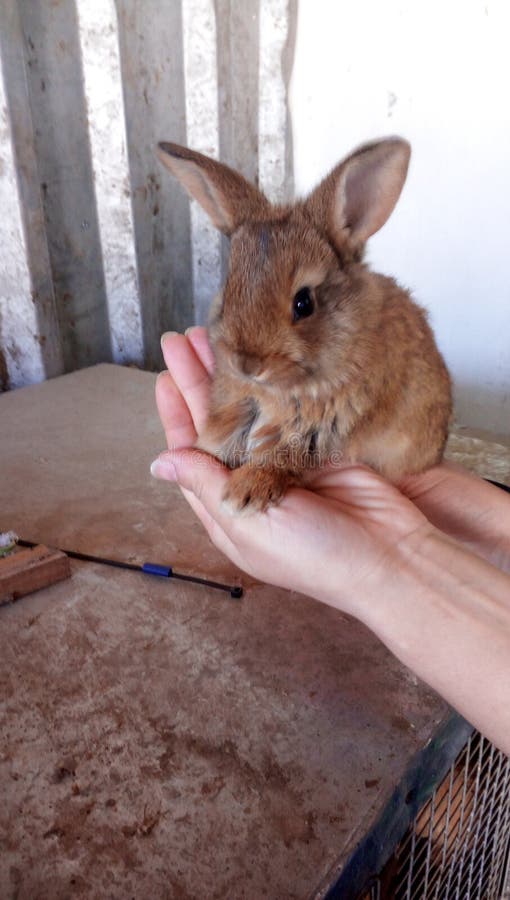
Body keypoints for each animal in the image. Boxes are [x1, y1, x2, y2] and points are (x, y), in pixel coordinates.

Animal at [157, 137, 452, 513]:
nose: (247, 364)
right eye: (228, 289)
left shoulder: (321, 429)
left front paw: (247, 491)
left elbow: (285, 457)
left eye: (304, 302)